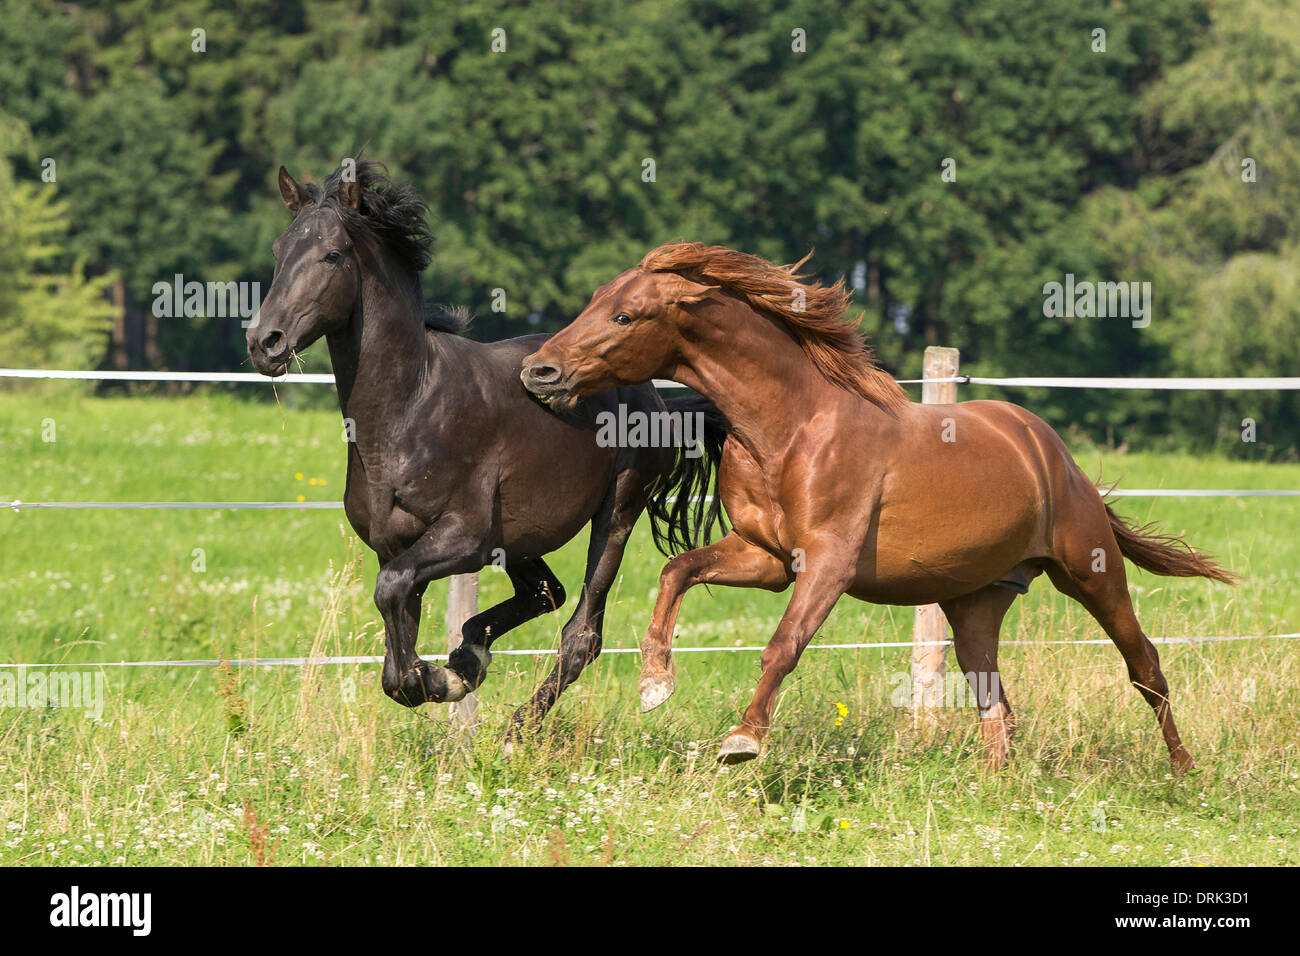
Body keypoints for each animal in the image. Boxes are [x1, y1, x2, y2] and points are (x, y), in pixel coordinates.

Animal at [246, 165, 724, 736]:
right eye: (279, 251)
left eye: (332, 255)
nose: (264, 342)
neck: (407, 411)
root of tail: (657, 398)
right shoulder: (396, 544)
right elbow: (394, 651)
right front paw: (449, 672)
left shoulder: (464, 536)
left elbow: (390, 593)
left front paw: (442, 679)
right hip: (518, 539)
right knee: (546, 593)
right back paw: (471, 652)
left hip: (615, 512)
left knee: (581, 633)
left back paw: (516, 730)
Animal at [521, 241, 1235, 770]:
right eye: (594, 302)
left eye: (624, 317)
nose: (538, 372)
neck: (795, 428)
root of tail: (1053, 453)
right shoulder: (766, 557)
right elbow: (678, 571)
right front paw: (655, 682)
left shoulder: (829, 563)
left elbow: (782, 645)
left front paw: (743, 740)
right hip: (975, 605)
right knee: (993, 702)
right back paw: (995, 787)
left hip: (1090, 571)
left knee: (1145, 666)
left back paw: (1184, 772)